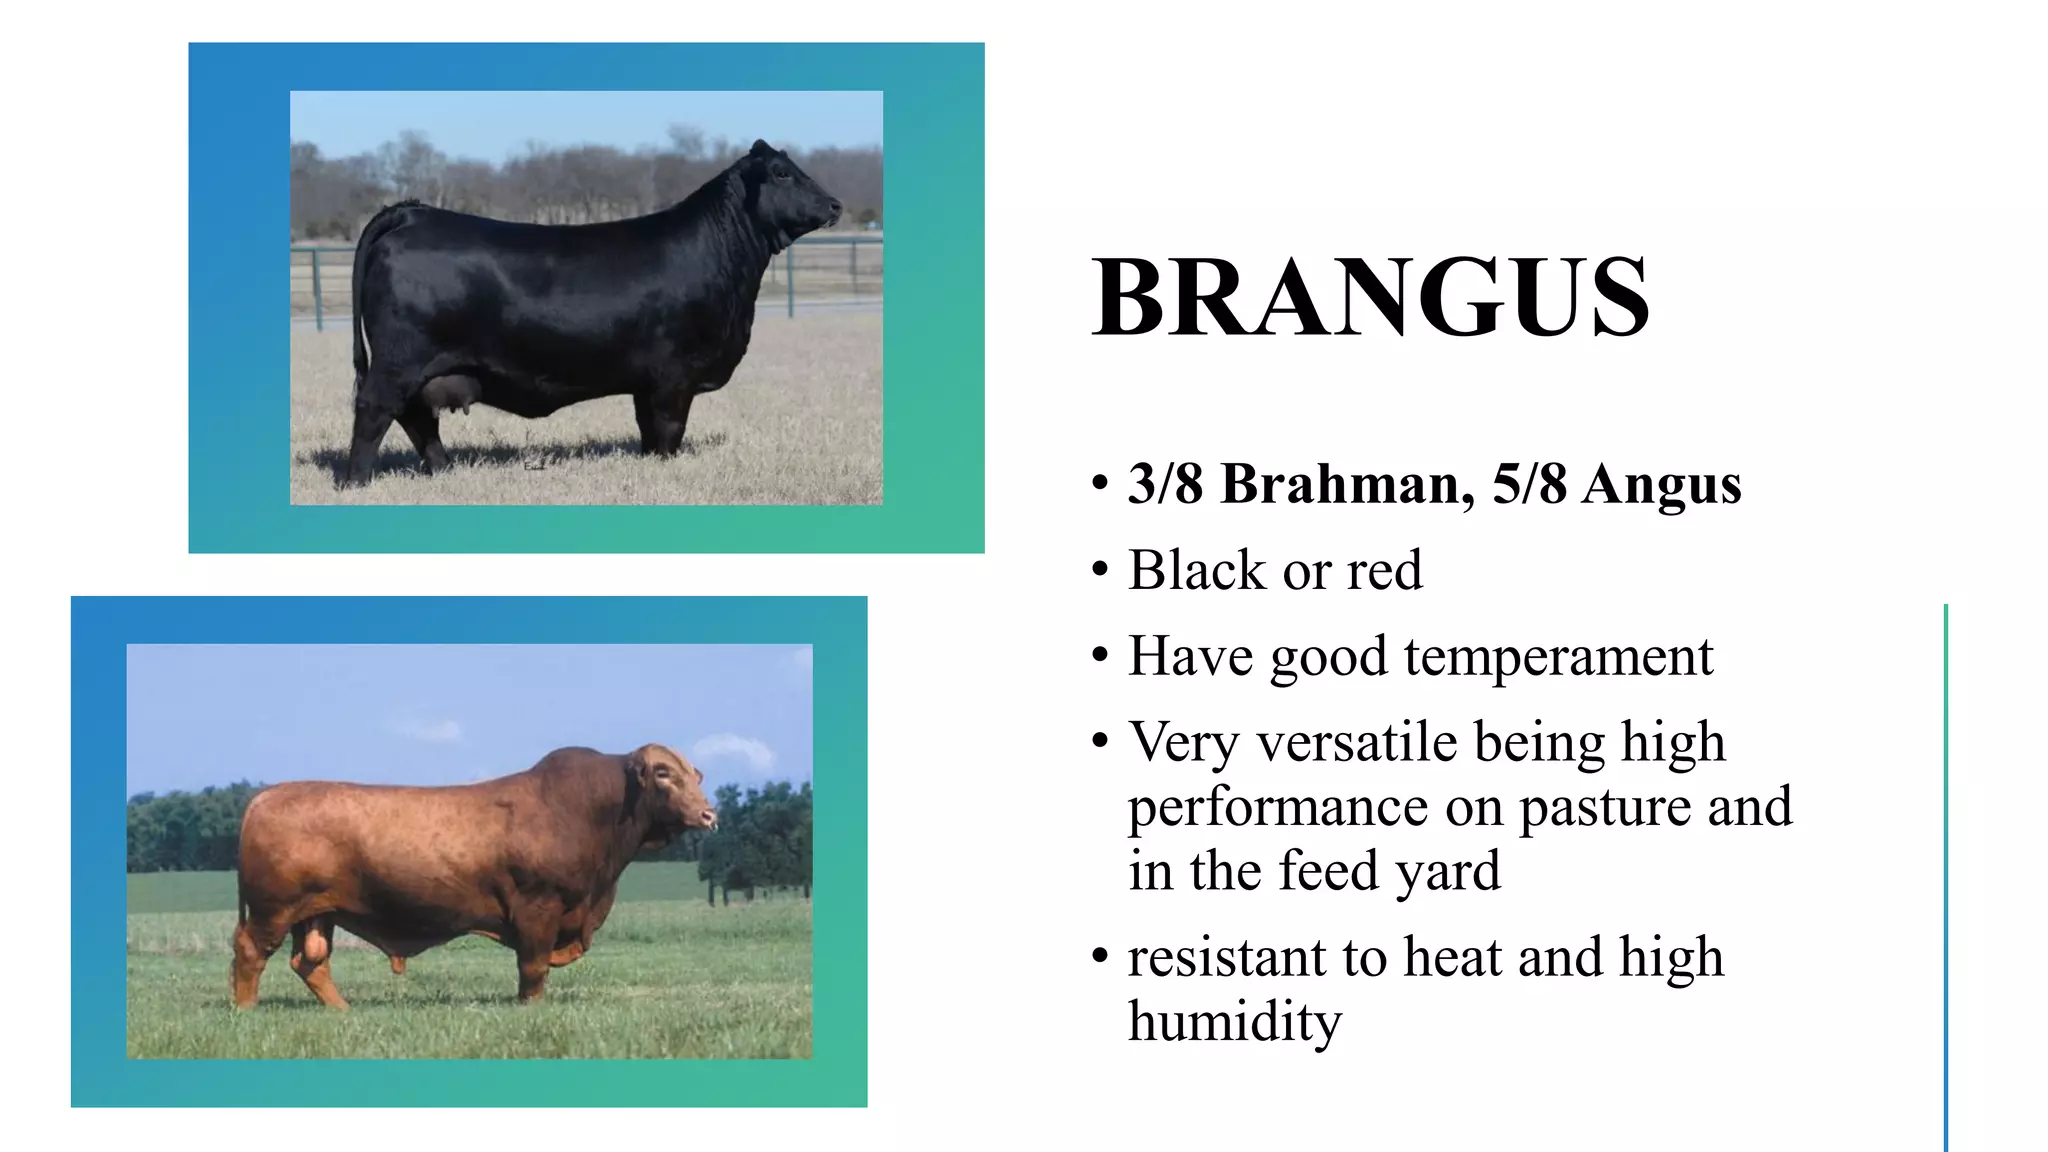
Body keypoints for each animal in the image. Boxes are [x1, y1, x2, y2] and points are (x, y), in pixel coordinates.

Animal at [230, 743, 718, 1010]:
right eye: (663, 773)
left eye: (696, 775)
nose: (708, 815)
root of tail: (267, 795)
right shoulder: (538, 907)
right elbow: (533, 966)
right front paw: (530, 1006)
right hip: (273, 909)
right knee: (251, 952)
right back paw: (245, 1008)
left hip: (316, 912)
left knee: (311, 961)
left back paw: (343, 1010)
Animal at [343, 139, 843, 486]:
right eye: (781, 173)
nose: (836, 204)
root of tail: (414, 213)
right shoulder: (674, 375)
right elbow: (669, 431)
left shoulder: (646, 382)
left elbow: (648, 430)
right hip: (399, 360)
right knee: (375, 409)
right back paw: (356, 482)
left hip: (419, 367)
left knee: (416, 417)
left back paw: (445, 470)